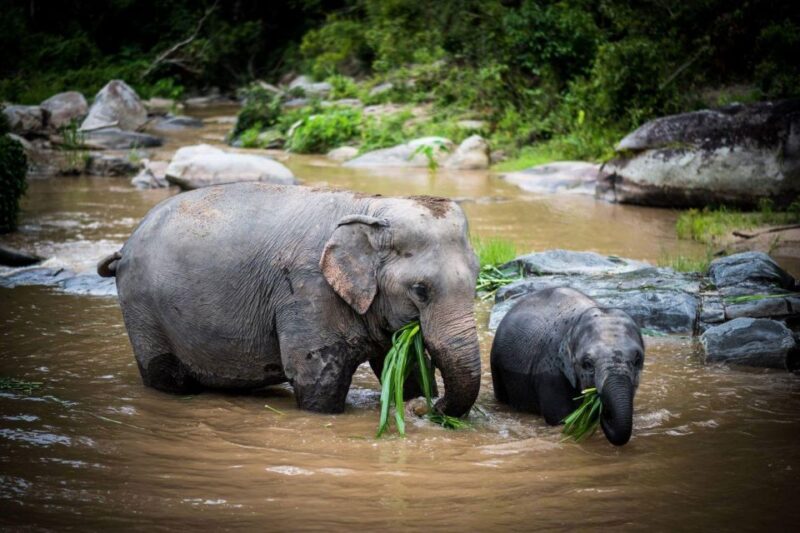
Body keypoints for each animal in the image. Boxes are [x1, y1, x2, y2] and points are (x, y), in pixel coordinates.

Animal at [98, 183, 481, 416]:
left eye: (477, 280)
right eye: (420, 290)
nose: (427, 408)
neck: (369, 206)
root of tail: (123, 249)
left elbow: (405, 367)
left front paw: (412, 398)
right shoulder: (306, 288)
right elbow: (318, 377)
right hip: (142, 309)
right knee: (164, 376)